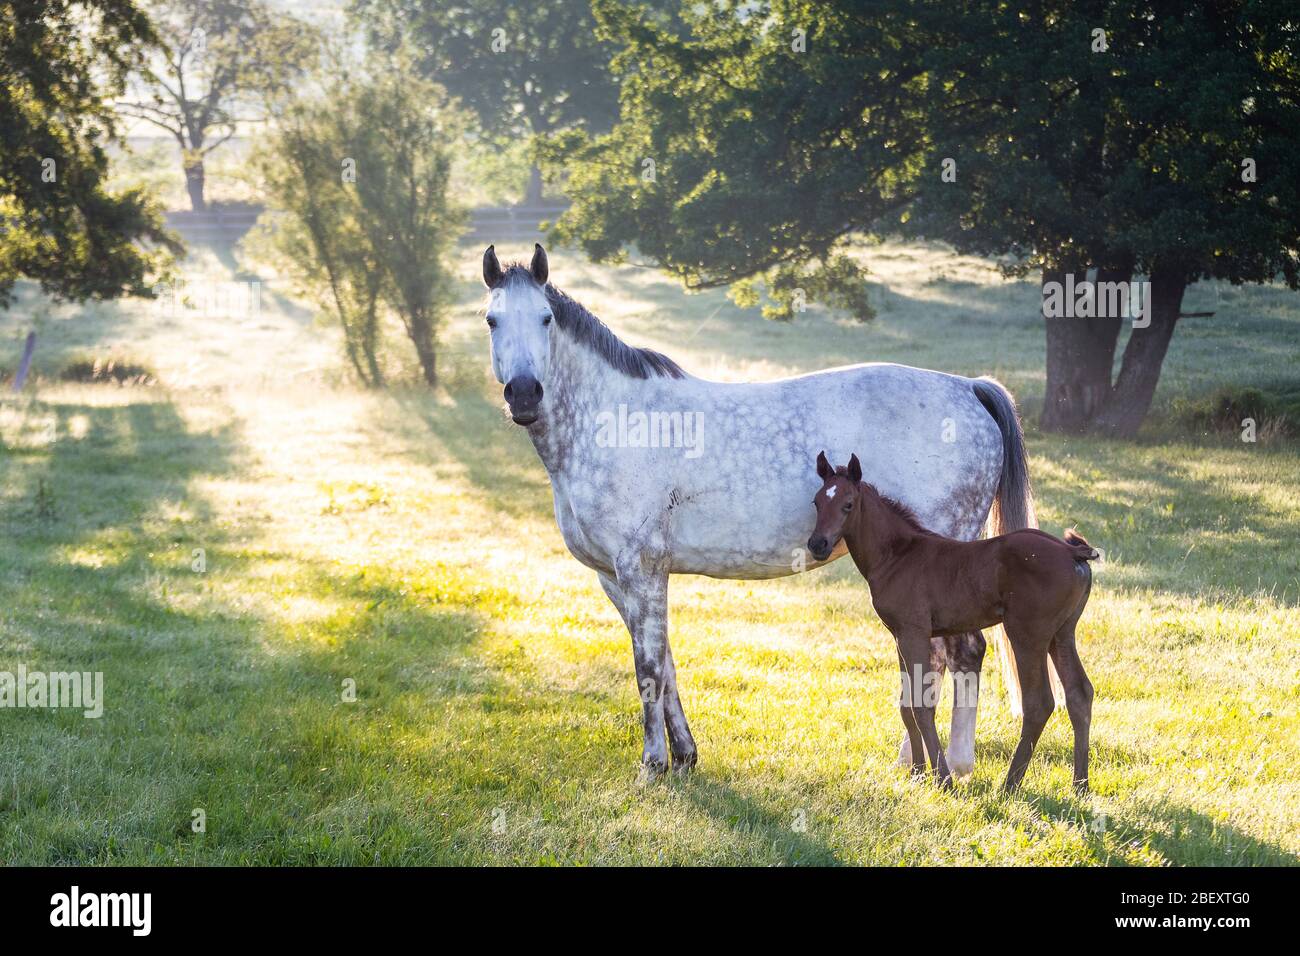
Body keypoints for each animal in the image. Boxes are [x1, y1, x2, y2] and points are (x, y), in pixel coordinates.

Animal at [482, 243, 1036, 778]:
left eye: (545, 318)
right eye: (491, 319)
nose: (525, 393)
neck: (616, 423)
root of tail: (969, 388)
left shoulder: (641, 569)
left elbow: (648, 670)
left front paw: (653, 765)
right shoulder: (615, 578)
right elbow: (666, 663)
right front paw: (684, 756)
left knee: (957, 653)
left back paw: (945, 764)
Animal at [808, 452, 1096, 792]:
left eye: (848, 504)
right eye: (816, 502)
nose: (817, 544)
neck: (897, 554)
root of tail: (1072, 551)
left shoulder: (914, 632)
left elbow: (921, 706)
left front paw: (942, 778)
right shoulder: (899, 635)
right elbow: (907, 705)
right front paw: (918, 772)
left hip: (1027, 635)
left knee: (1039, 703)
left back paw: (1009, 785)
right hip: (1062, 634)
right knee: (1079, 693)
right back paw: (1080, 785)